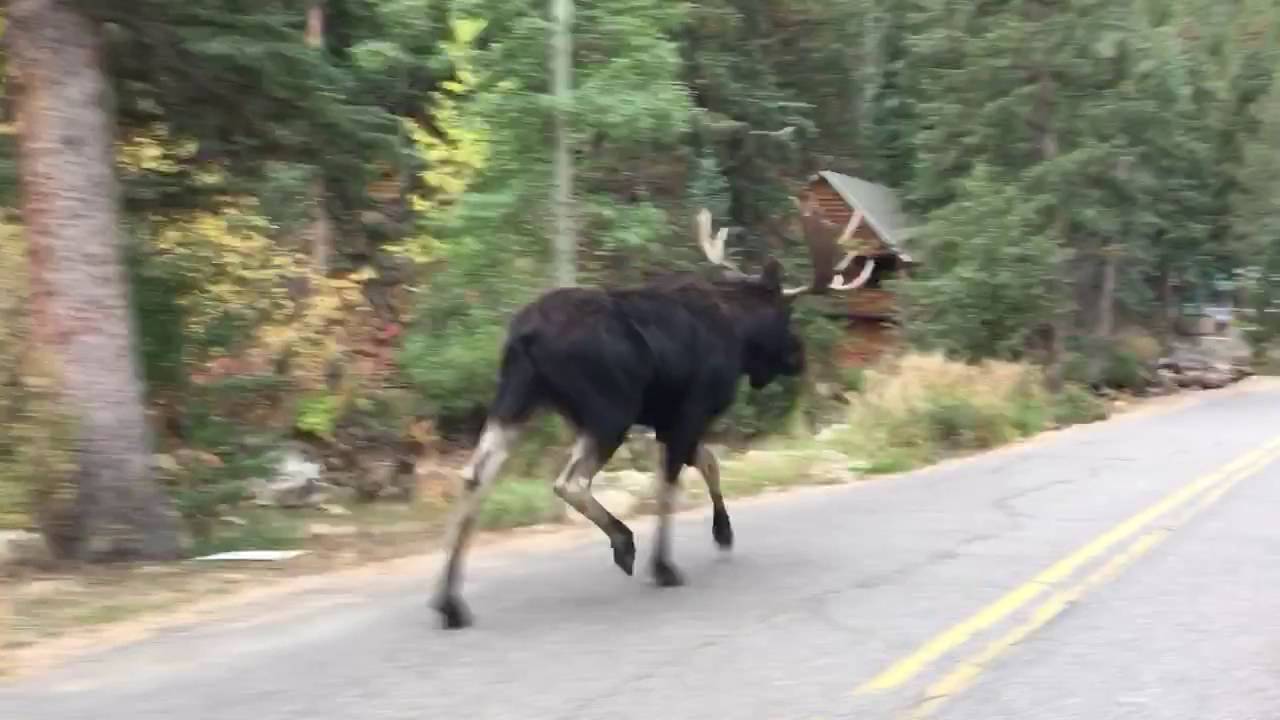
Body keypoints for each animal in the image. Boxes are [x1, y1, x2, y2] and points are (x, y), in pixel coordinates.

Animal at [431, 197, 874, 629]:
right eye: (785, 314)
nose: (799, 357)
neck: (738, 333)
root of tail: (525, 335)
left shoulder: (666, 420)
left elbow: (707, 463)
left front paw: (723, 532)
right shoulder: (692, 411)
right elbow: (673, 481)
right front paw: (665, 565)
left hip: (515, 400)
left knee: (474, 476)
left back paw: (449, 602)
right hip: (609, 411)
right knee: (569, 481)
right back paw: (624, 543)